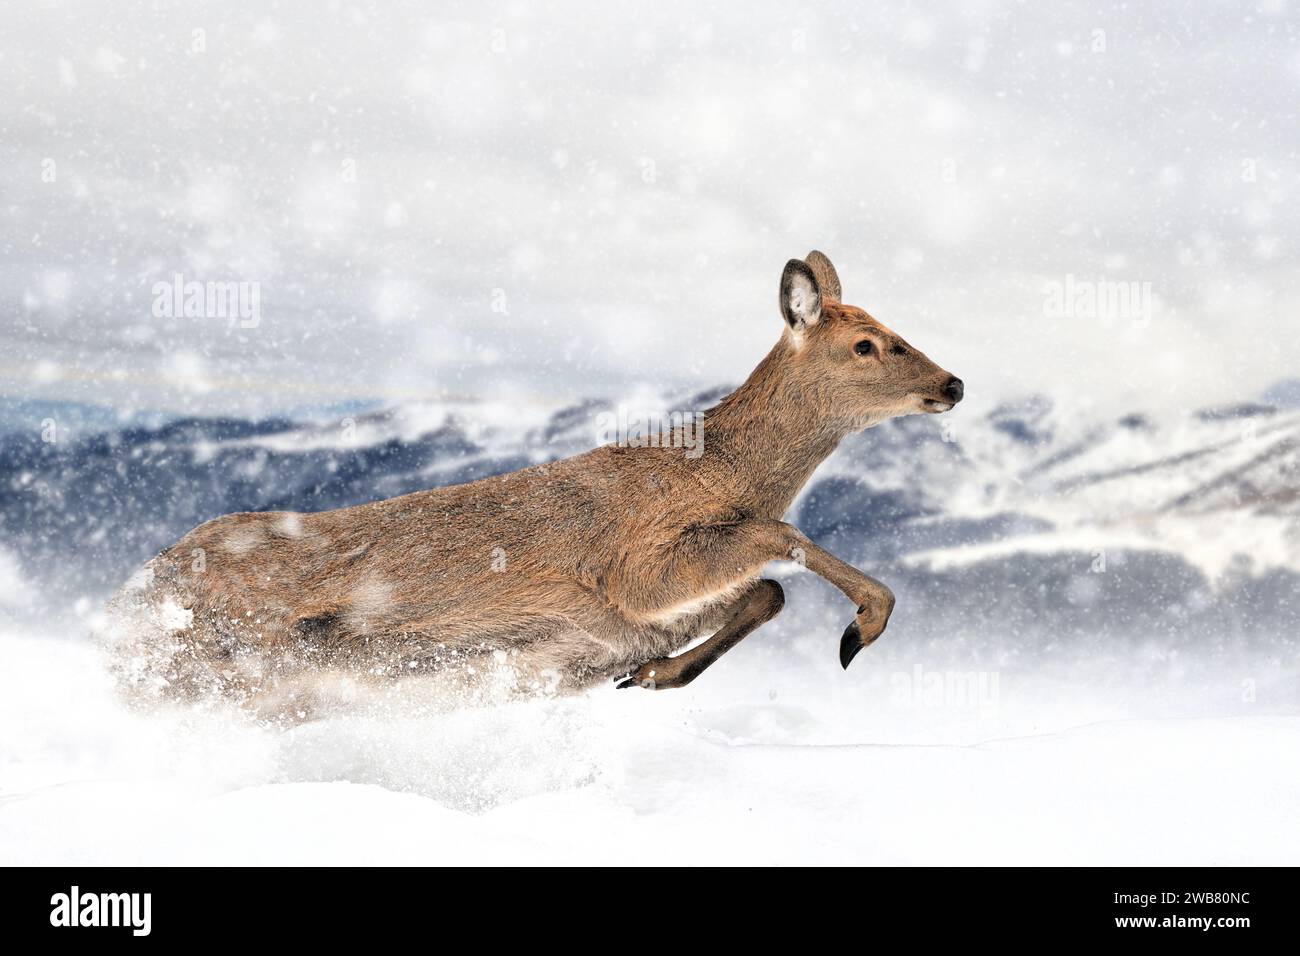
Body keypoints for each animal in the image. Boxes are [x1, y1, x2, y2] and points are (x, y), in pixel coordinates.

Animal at [104, 251, 963, 715]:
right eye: (865, 344)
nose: (952, 383)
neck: (717, 470)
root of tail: (126, 598)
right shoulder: (634, 565)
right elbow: (782, 540)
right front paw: (864, 626)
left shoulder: (654, 607)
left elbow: (767, 591)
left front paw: (651, 676)